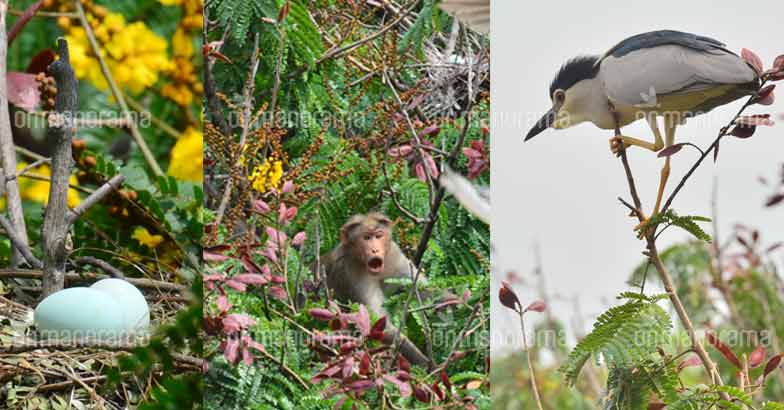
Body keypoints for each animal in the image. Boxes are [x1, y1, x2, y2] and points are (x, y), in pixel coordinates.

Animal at [317, 212, 431, 367]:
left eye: (378, 235)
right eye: (366, 237)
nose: (375, 250)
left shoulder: (394, 254)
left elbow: (429, 290)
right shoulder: (352, 272)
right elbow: (380, 326)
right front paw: (427, 364)